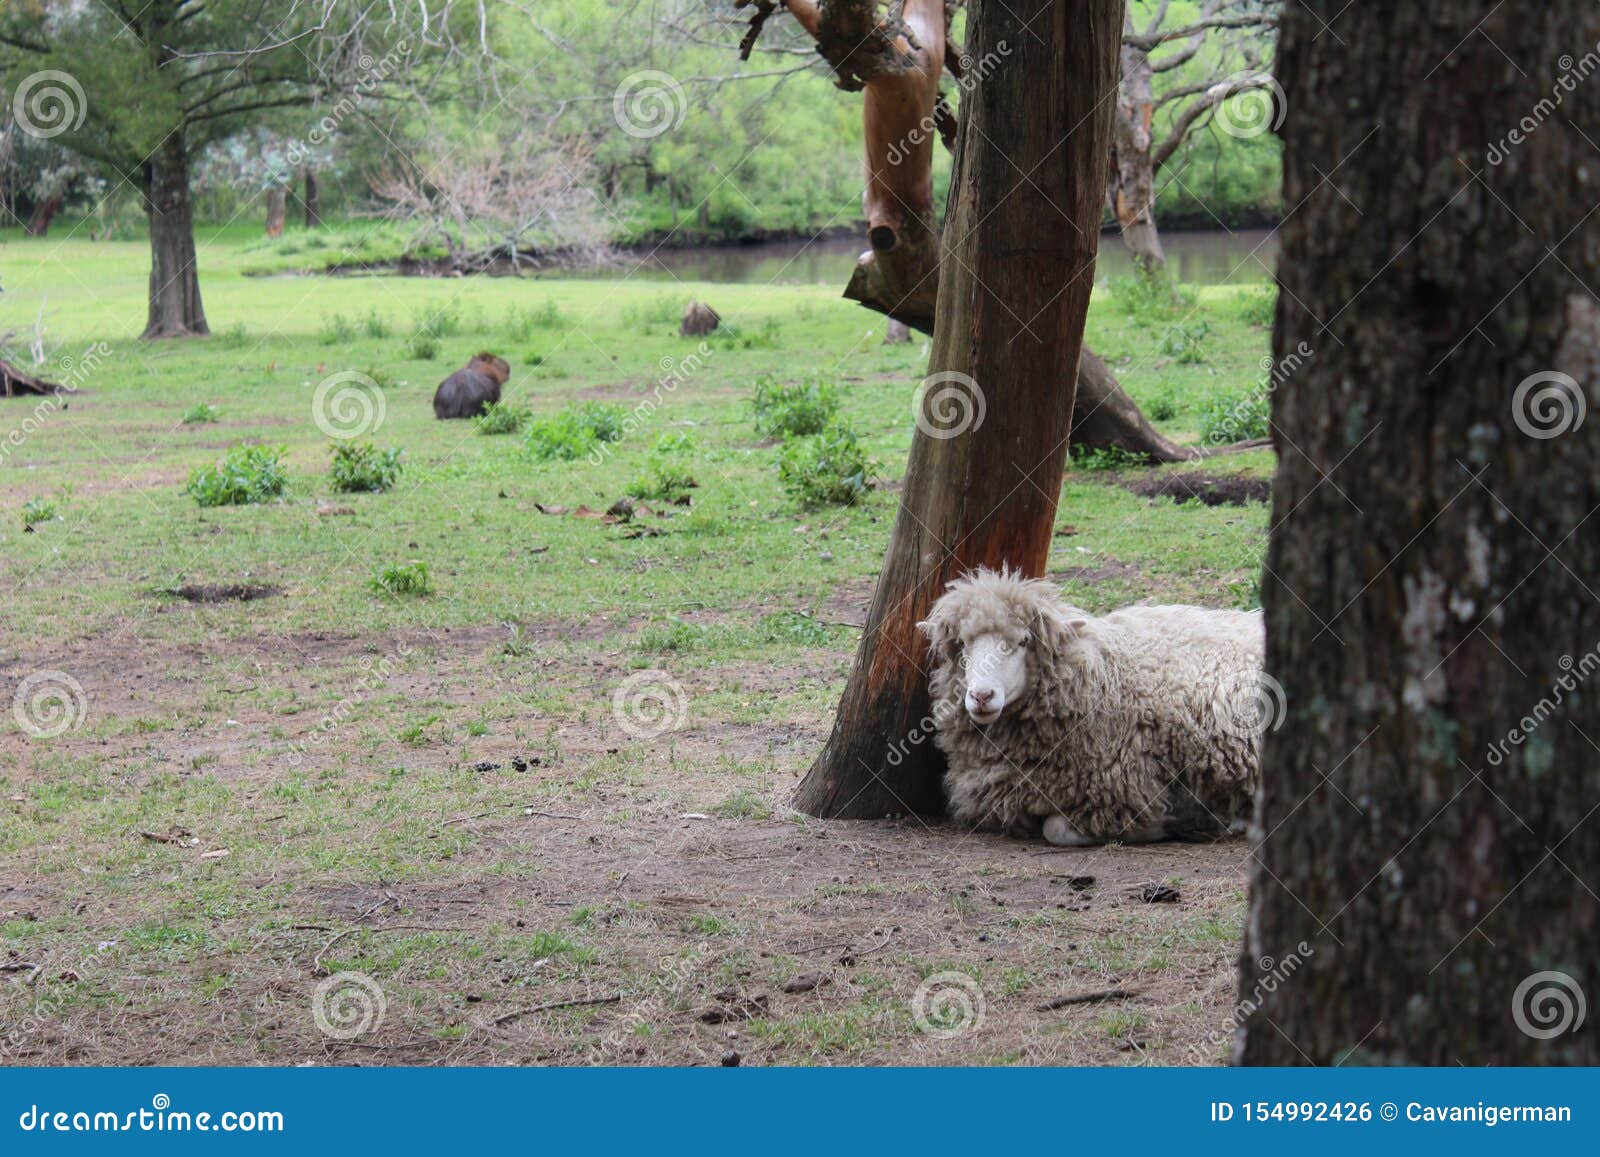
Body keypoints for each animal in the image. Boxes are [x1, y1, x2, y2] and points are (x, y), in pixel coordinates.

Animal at [917, 567, 1266, 846]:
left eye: (1024, 642)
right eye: (963, 644)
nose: (981, 696)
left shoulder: (1120, 789)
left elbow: (1056, 830)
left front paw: (1160, 826)